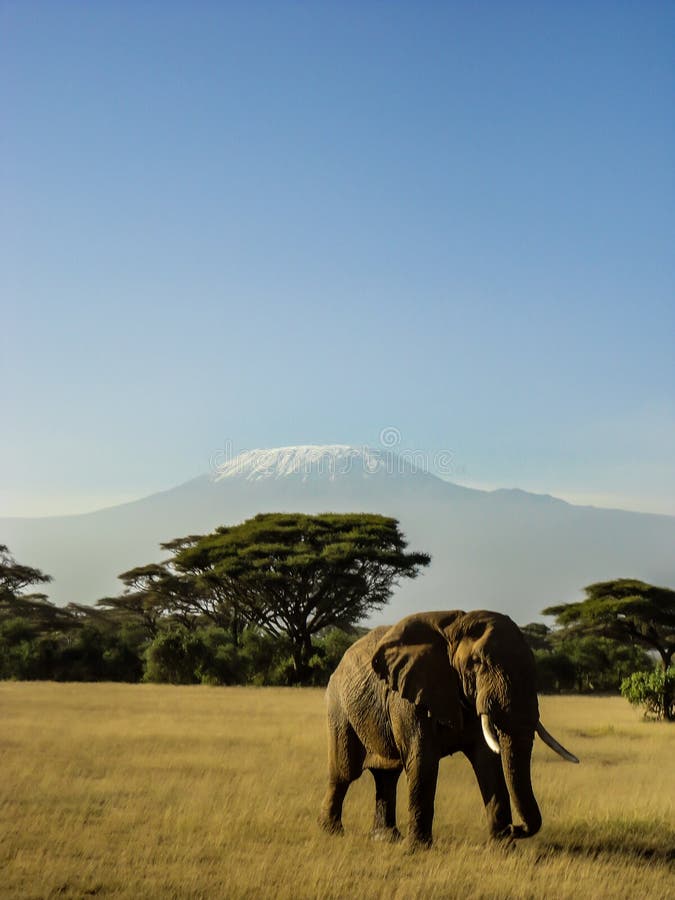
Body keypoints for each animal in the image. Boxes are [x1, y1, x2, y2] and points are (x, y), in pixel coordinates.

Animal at [319, 610, 578, 848]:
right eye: (477, 662)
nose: (516, 828)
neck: (454, 627)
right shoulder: (408, 696)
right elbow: (423, 760)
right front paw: (418, 849)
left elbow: (487, 761)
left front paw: (503, 847)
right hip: (339, 708)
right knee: (344, 772)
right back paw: (332, 832)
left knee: (387, 775)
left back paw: (386, 838)